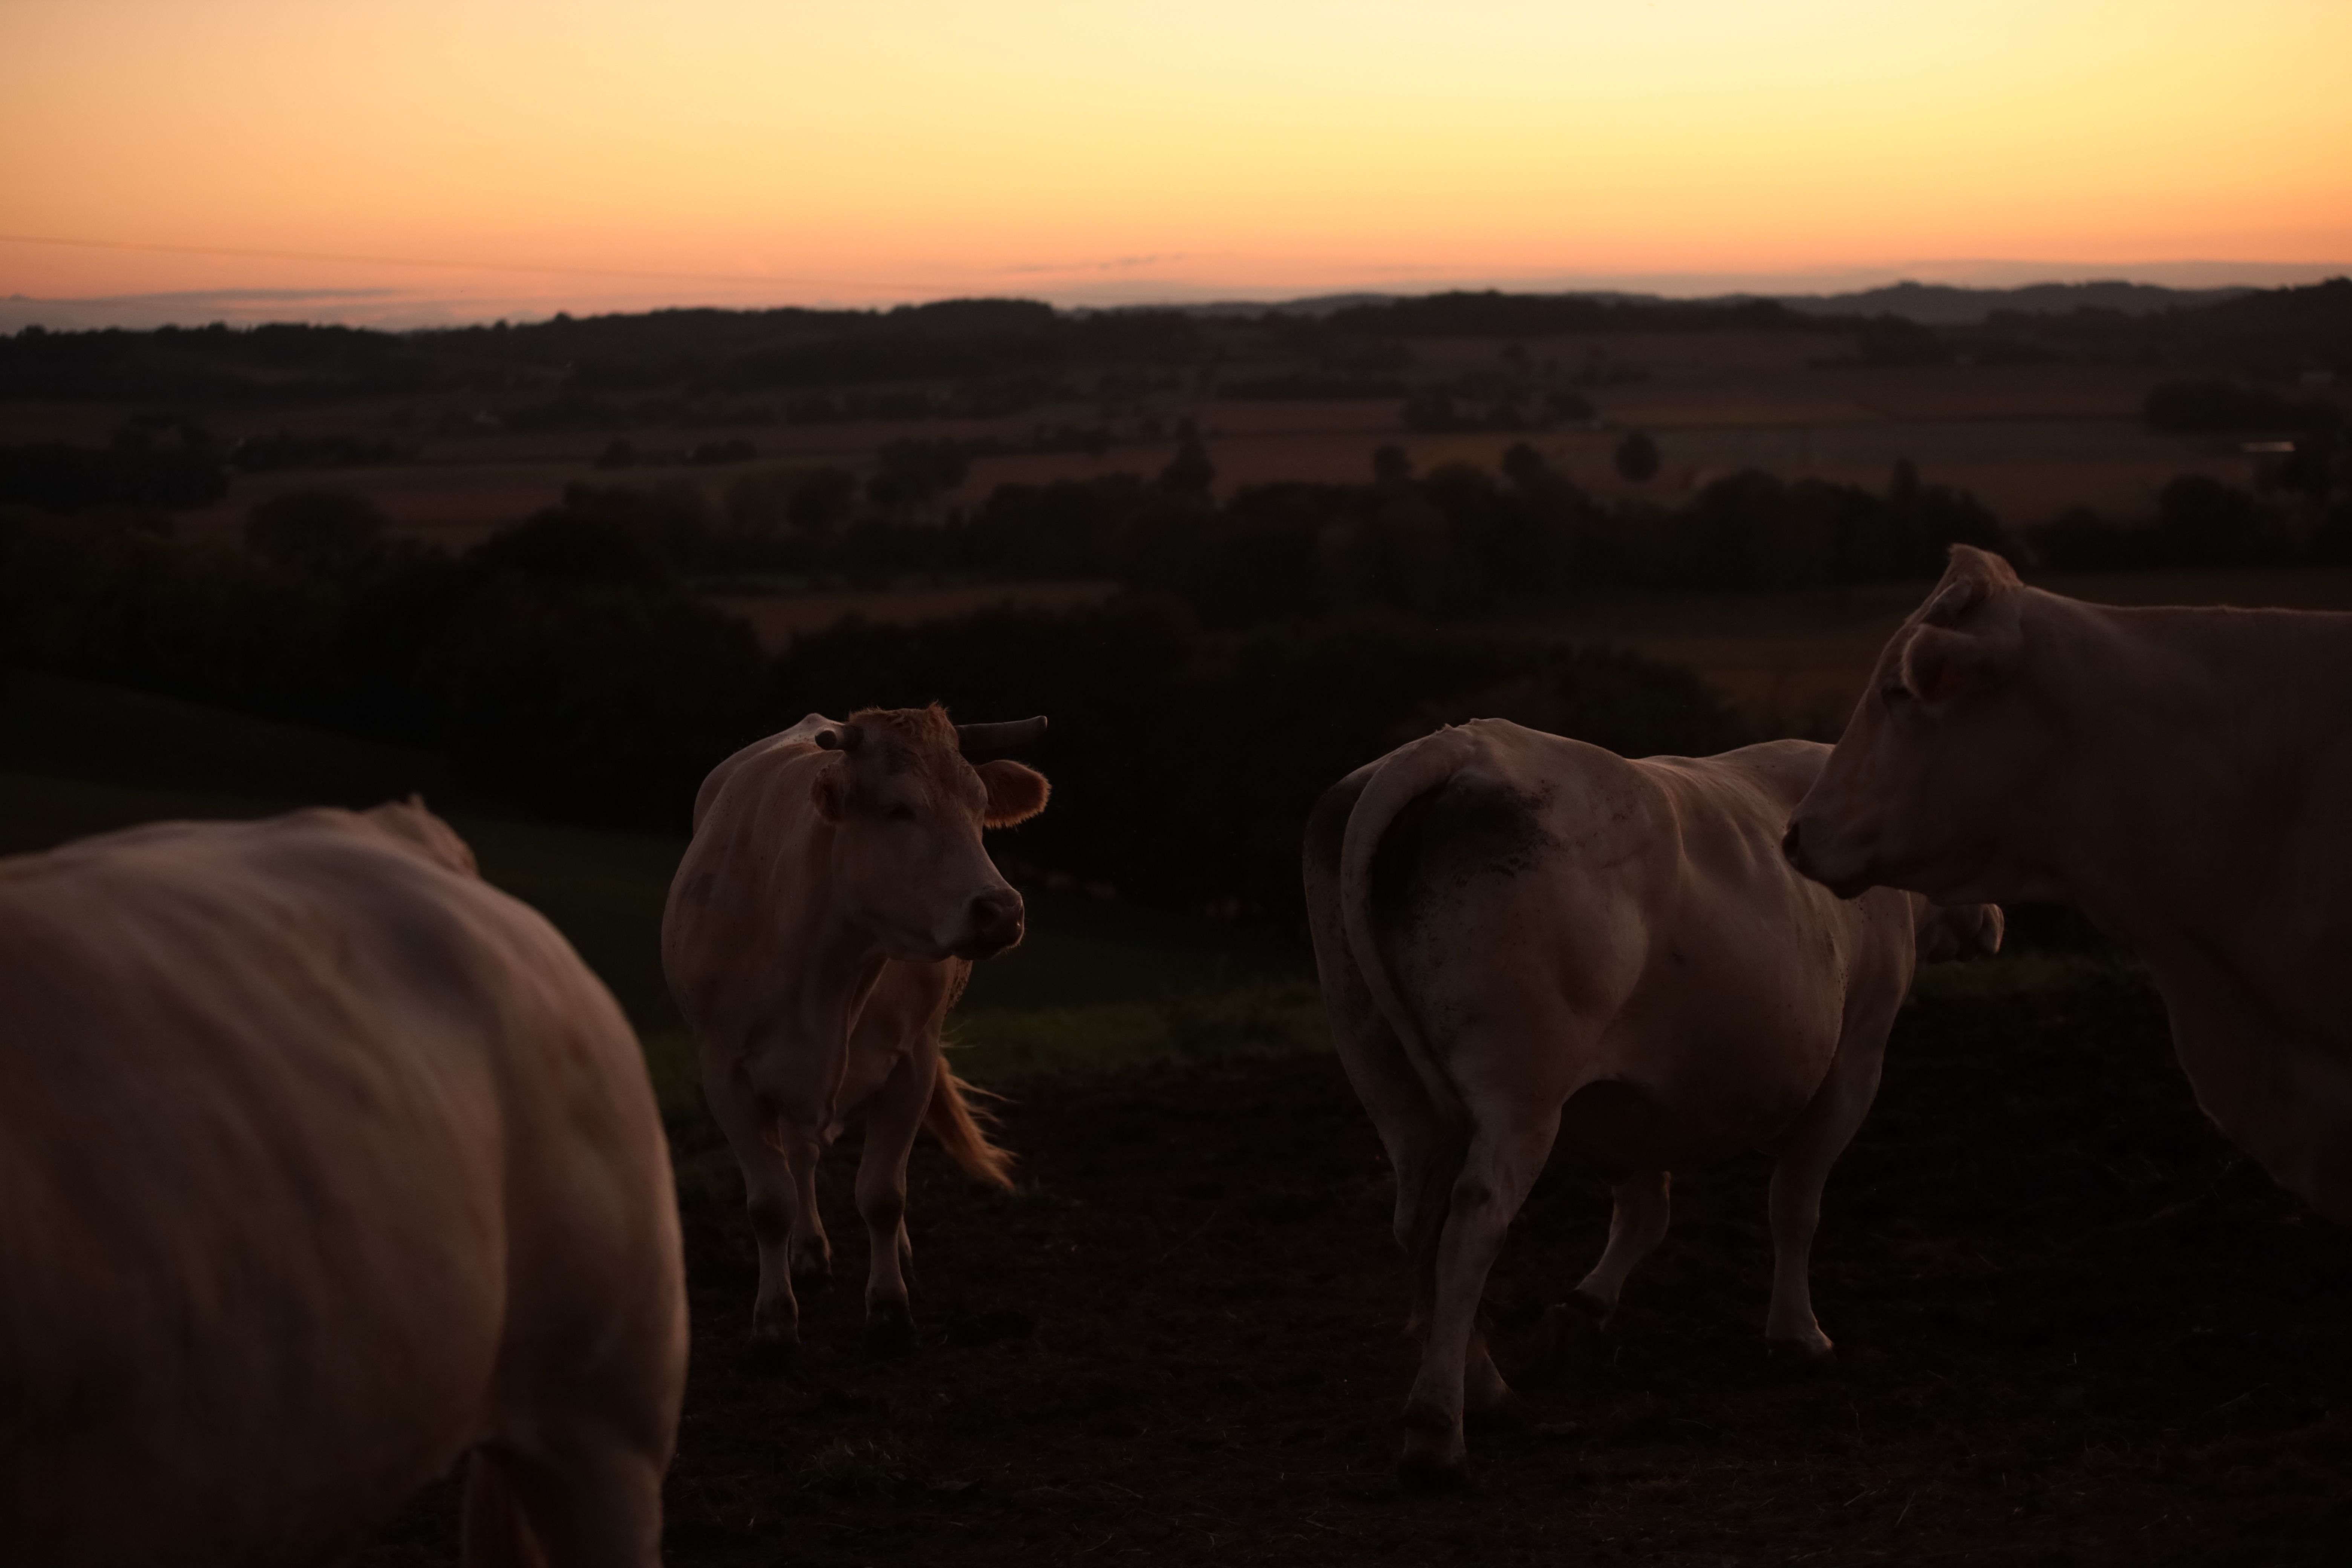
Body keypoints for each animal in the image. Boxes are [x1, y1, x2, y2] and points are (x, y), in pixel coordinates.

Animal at [662, 705, 1049, 1355]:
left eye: (979, 805)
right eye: (898, 809)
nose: (1002, 911)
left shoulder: (911, 1062)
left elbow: (883, 1195)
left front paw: (890, 1305)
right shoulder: (726, 1072)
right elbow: (770, 1203)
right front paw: (774, 1320)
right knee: (798, 1160)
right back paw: (808, 1253)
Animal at [1305, 723, 2000, 1485]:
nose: (1995, 916)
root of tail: (1462, 743)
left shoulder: (1632, 1107)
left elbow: (1645, 1214)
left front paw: (1583, 1309)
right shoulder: (1855, 1061)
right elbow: (1794, 1206)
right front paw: (1799, 1335)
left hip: (1388, 1077)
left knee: (1421, 1224)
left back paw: (1483, 1382)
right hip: (1519, 1098)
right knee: (1471, 1225)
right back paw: (1437, 1425)